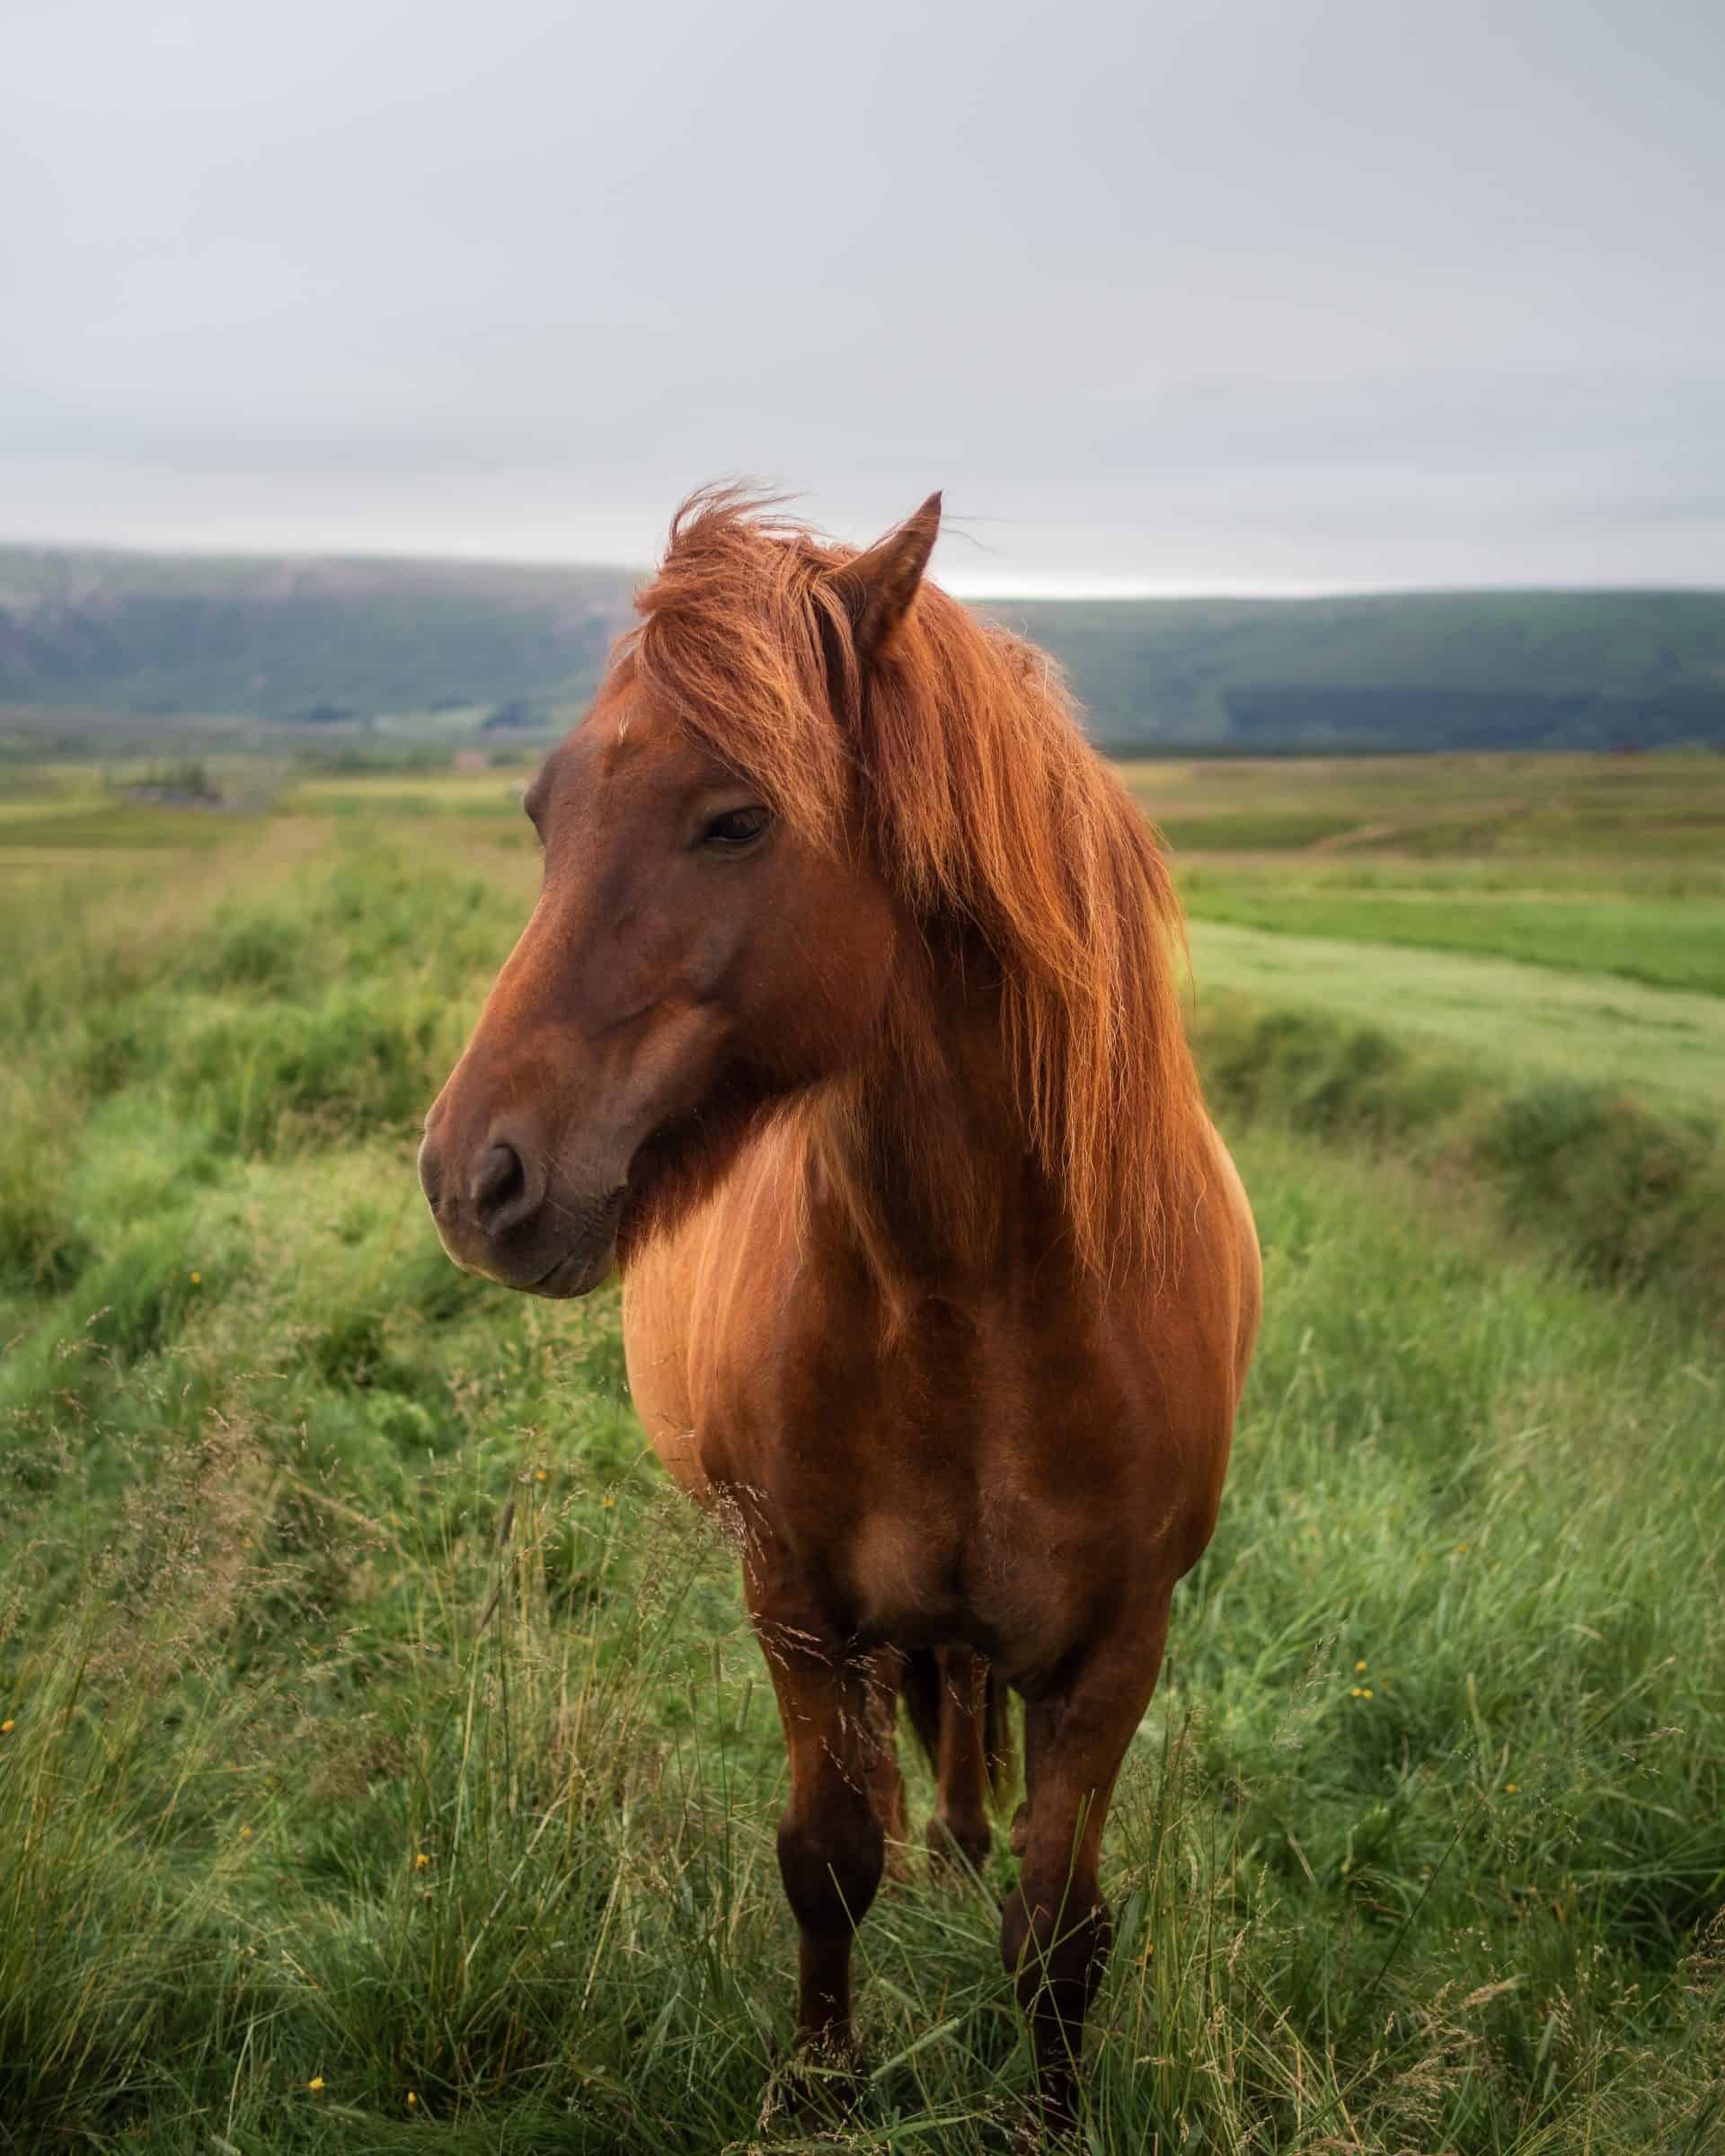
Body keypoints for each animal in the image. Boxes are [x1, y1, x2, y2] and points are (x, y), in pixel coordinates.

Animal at [417, 488, 1261, 2132]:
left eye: (738, 817)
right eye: (545, 813)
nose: (471, 1175)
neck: (981, 1296)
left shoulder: (1120, 1645)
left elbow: (1059, 1930)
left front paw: (1046, 2117)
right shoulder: (796, 1607)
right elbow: (826, 1859)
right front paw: (815, 2089)